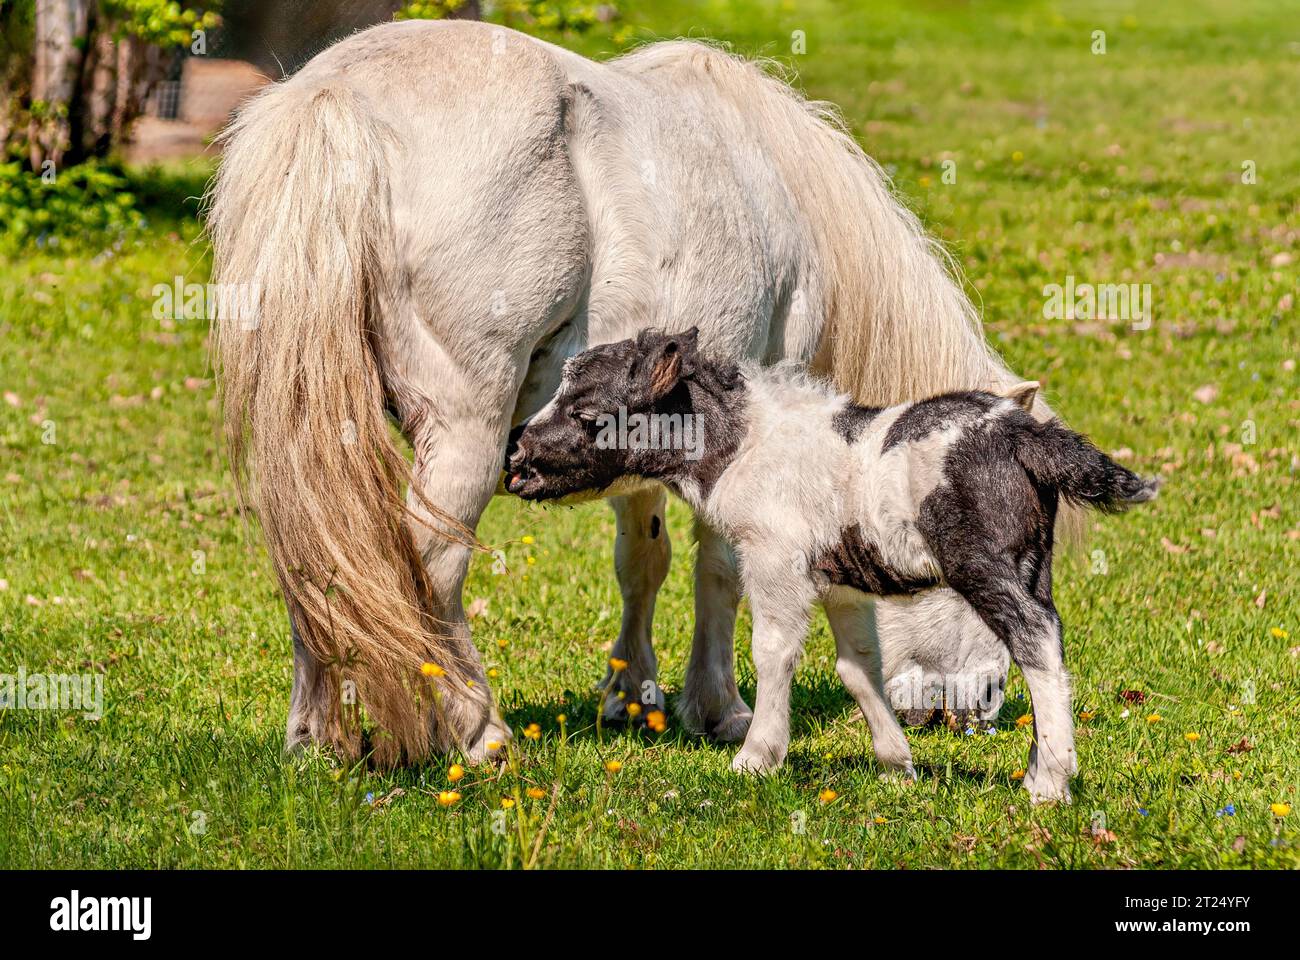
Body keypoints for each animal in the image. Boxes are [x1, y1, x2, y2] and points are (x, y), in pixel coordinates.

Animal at [207, 18, 1062, 767]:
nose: (979, 705)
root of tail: (338, 101)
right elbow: (720, 567)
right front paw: (719, 709)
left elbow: (642, 557)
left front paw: (633, 694)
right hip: (465, 432)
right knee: (429, 568)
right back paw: (479, 733)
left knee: (323, 558)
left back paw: (320, 738)